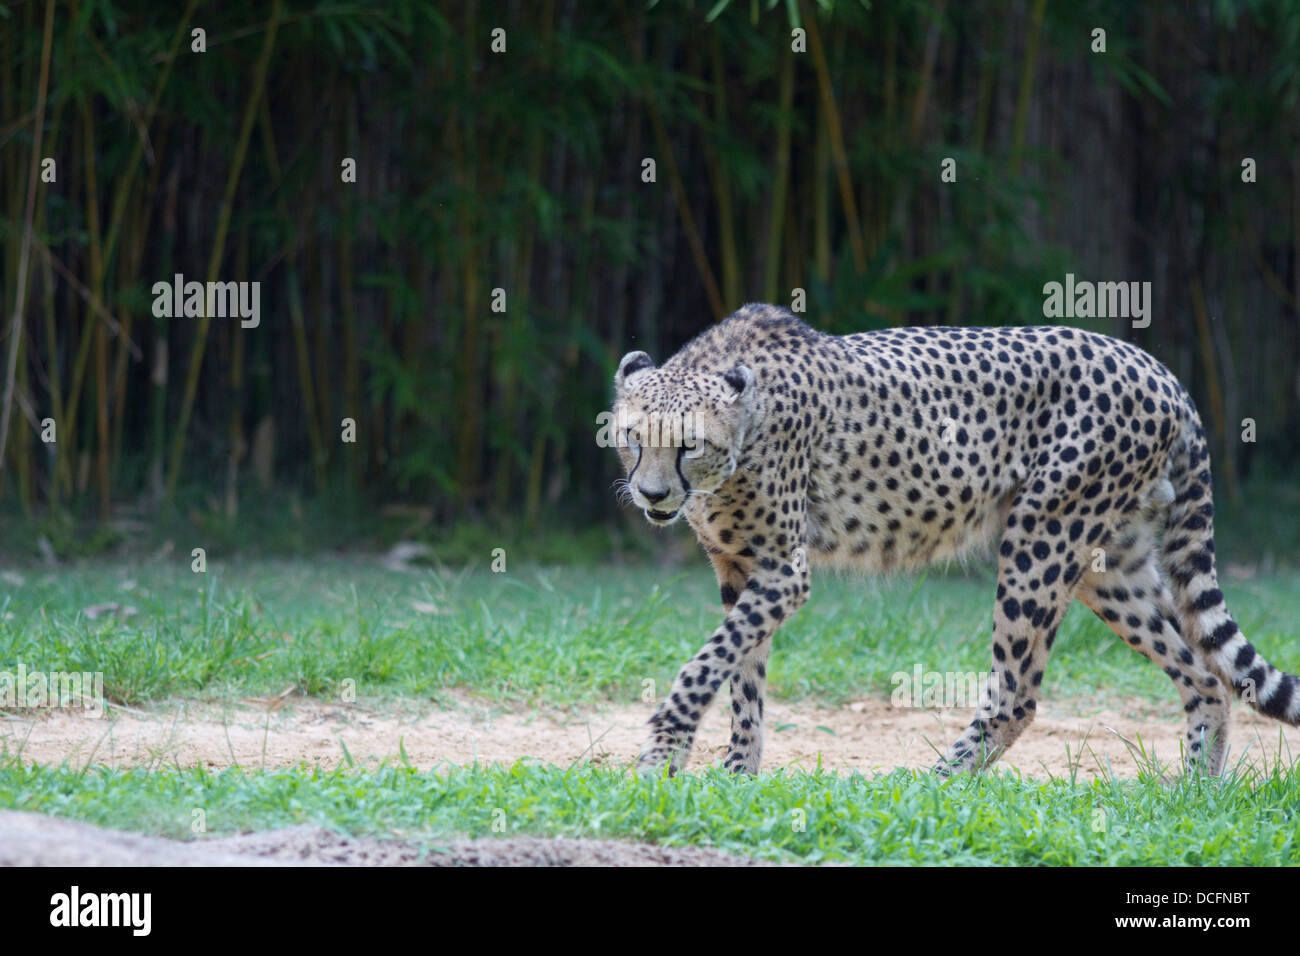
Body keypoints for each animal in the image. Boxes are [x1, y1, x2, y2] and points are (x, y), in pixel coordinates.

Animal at [611, 304, 1300, 780]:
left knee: (1018, 693)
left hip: (1041, 534)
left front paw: (664, 751)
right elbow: (741, 675)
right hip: (1111, 566)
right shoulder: (740, 568)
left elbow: (708, 663)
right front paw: (737, 776)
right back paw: (1194, 794)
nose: (651, 495)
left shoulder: (784, 570)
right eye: (632, 437)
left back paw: (931, 784)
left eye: (689, 443)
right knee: (1206, 676)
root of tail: (1158, 369)